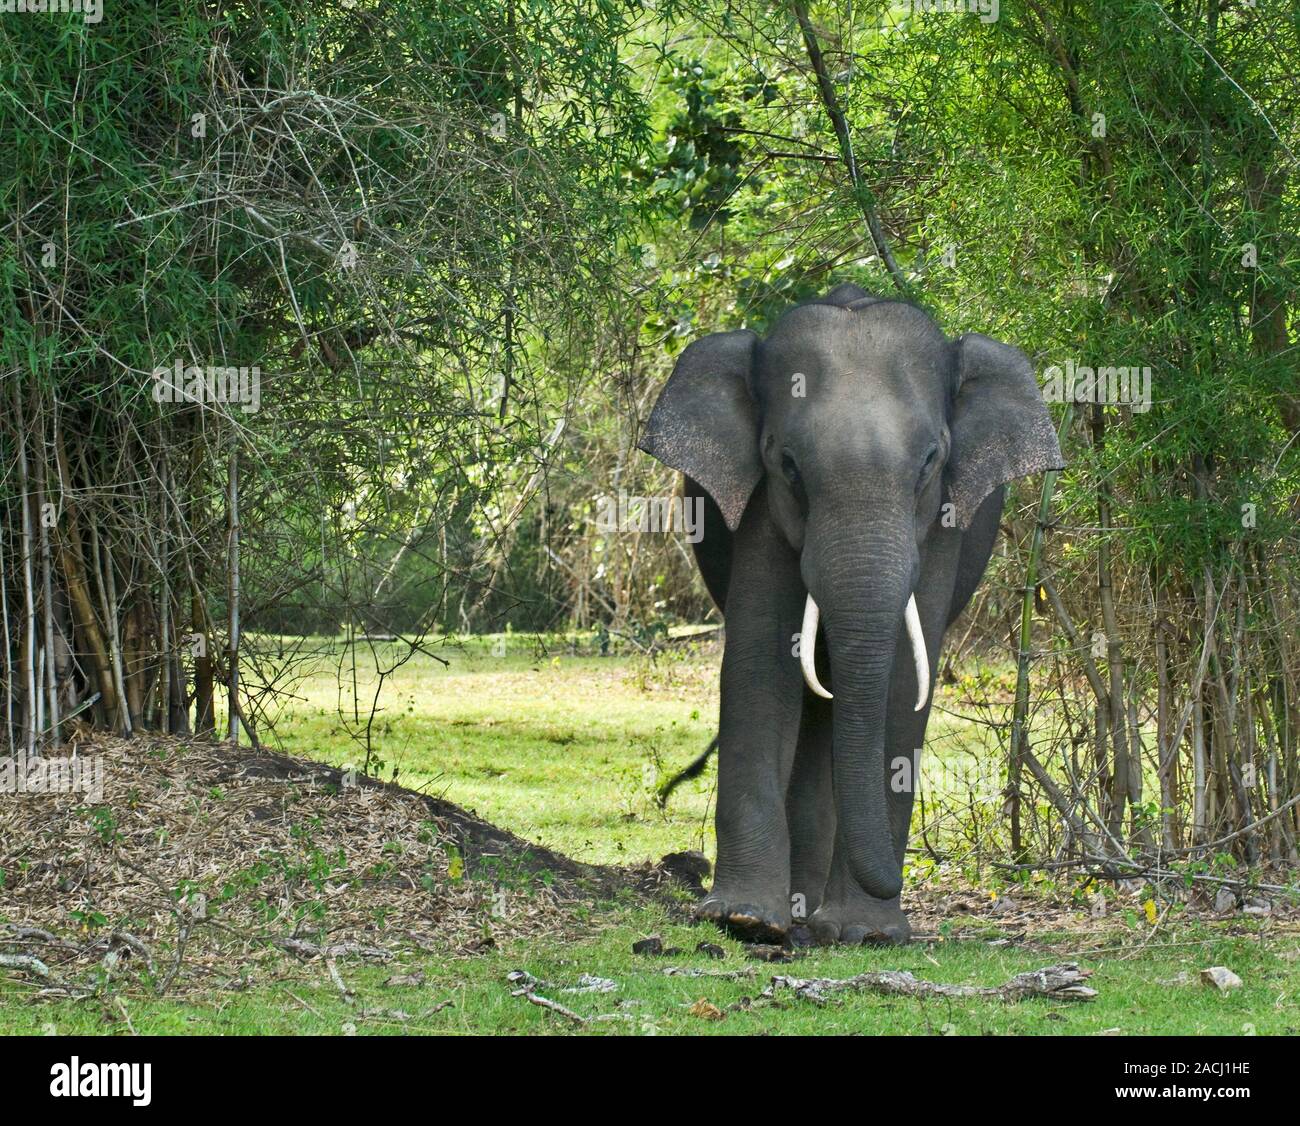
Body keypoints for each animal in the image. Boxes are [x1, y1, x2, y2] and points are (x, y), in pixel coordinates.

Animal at [638, 284, 1063, 945]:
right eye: (787, 464)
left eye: (929, 462)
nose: (894, 881)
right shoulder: (760, 507)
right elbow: (761, 666)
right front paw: (745, 919)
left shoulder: (942, 523)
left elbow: (903, 685)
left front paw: (870, 933)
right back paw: (796, 915)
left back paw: (814, 915)